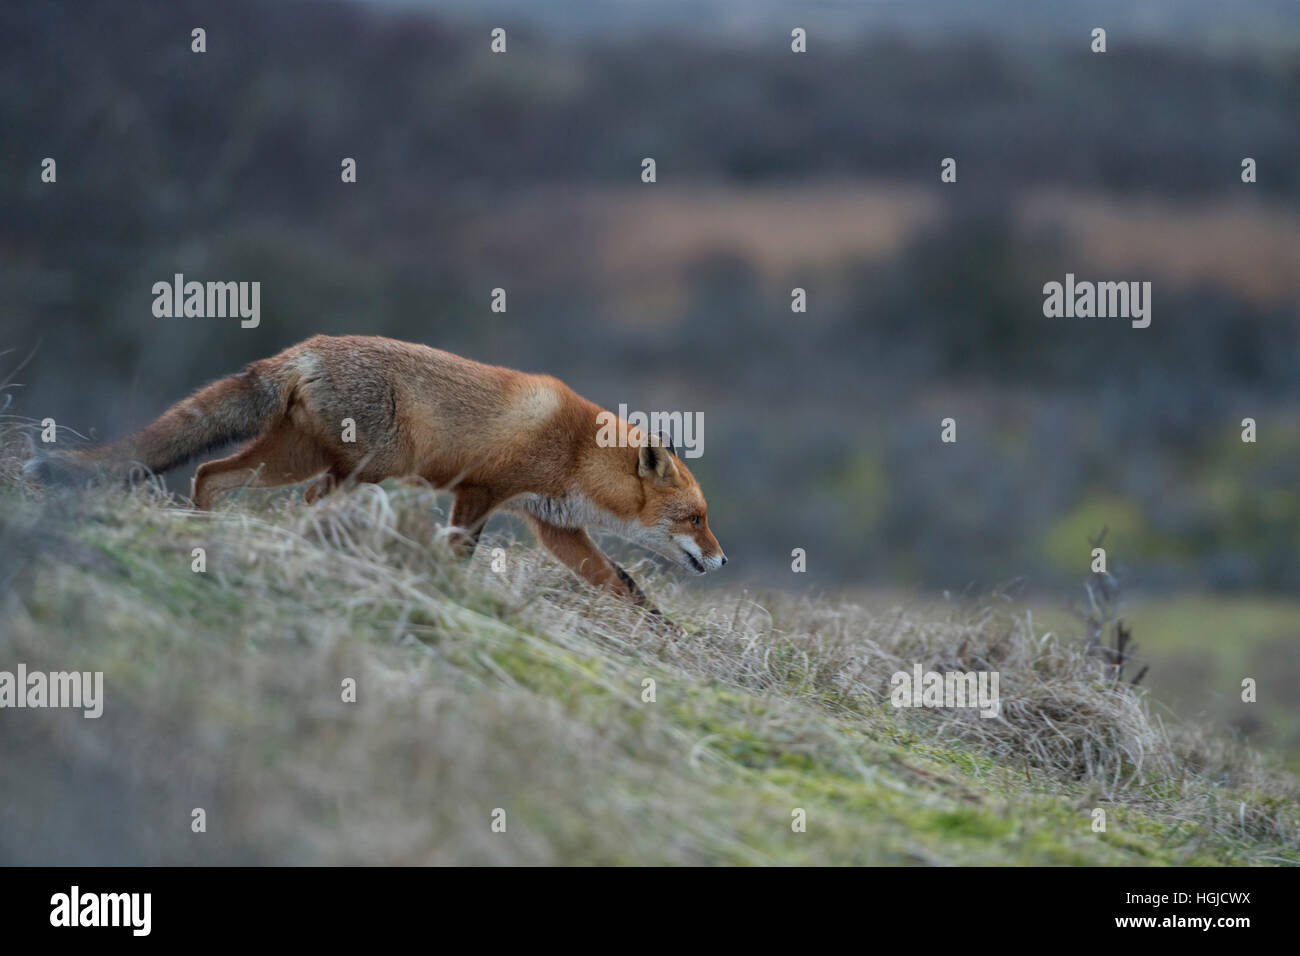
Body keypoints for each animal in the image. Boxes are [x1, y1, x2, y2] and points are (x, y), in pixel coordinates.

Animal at [24, 334, 726, 622]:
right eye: (695, 518)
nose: (721, 561)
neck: (578, 452)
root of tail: (302, 349)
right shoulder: (480, 492)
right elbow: (461, 552)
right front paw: (444, 592)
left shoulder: (554, 526)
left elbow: (624, 583)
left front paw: (663, 634)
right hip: (364, 465)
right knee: (283, 492)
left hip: (298, 458)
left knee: (208, 472)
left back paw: (207, 536)